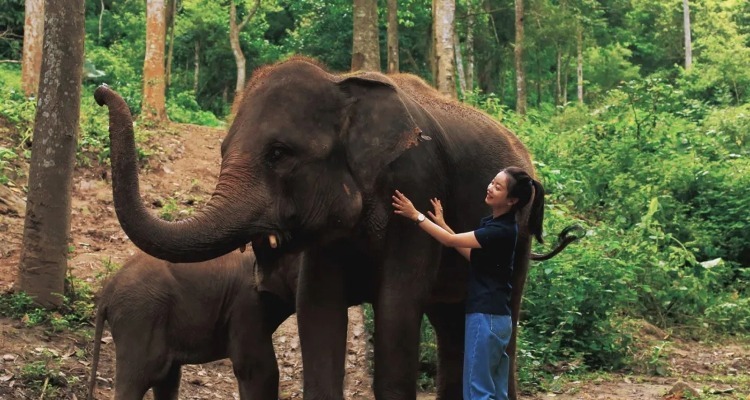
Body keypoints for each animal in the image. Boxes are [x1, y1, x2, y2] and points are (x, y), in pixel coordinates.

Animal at [94, 56, 575, 400]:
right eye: (222, 150)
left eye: (278, 153)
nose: (100, 90)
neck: (341, 83)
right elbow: (317, 306)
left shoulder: (417, 182)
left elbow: (398, 302)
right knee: (451, 322)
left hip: (517, 240)